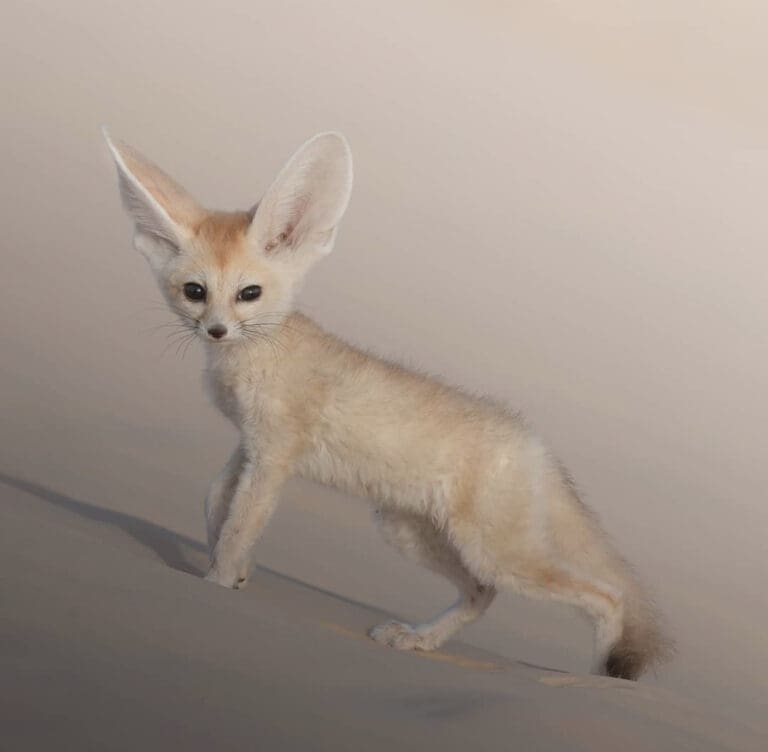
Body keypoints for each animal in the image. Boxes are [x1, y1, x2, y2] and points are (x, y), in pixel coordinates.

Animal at [104, 129, 672, 680]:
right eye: (194, 291)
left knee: (606, 596)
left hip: (498, 554)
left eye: (249, 293)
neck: (258, 355)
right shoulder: (250, 445)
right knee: (482, 594)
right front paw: (237, 573)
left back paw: (596, 678)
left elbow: (238, 525)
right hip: (408, 532)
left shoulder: (274, 457)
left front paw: (217, 584)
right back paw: (419, 639)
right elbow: (214, 501)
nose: (217, 331)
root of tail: (536, 444)